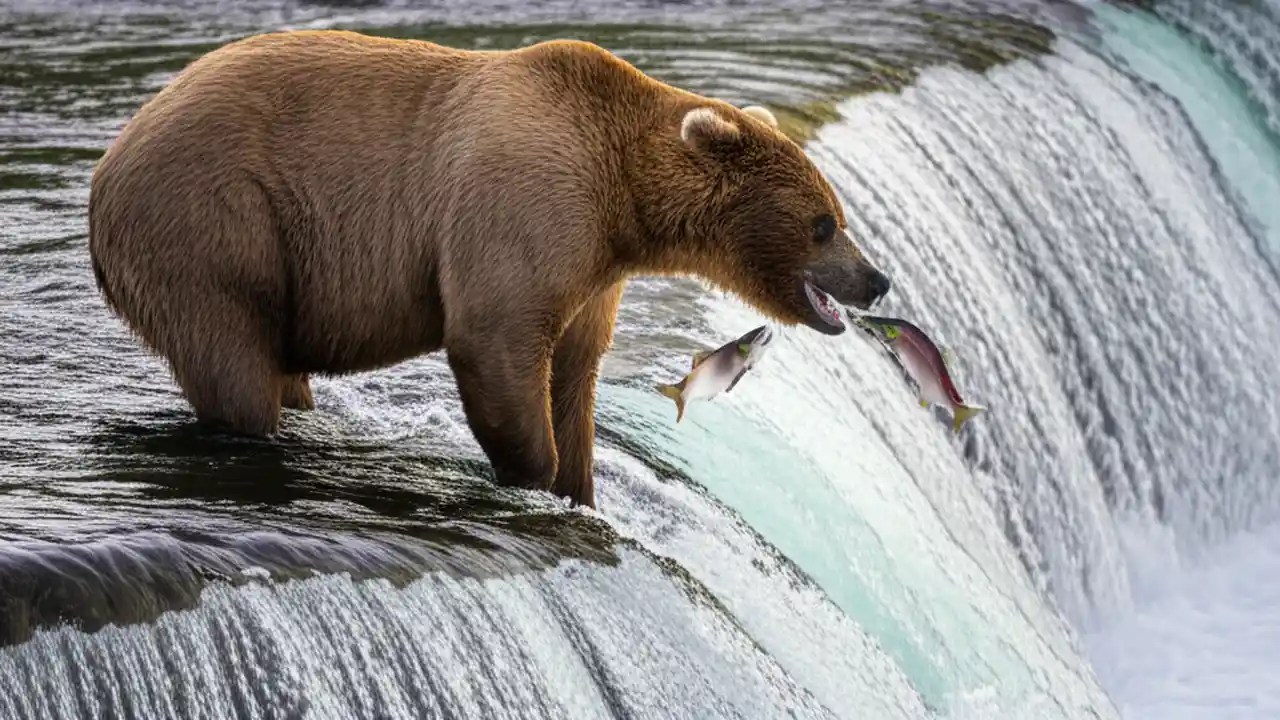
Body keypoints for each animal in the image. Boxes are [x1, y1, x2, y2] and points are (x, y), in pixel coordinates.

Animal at [88, 30, 891, 508]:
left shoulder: (595, 268)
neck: (625, 199)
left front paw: (579, 484)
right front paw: (533, 474)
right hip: (217, 223)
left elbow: (574, 369)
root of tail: (109, 162)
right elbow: (496, 339)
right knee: (233, 360)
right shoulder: (525, 207)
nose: (877, 278)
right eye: (823, 223)